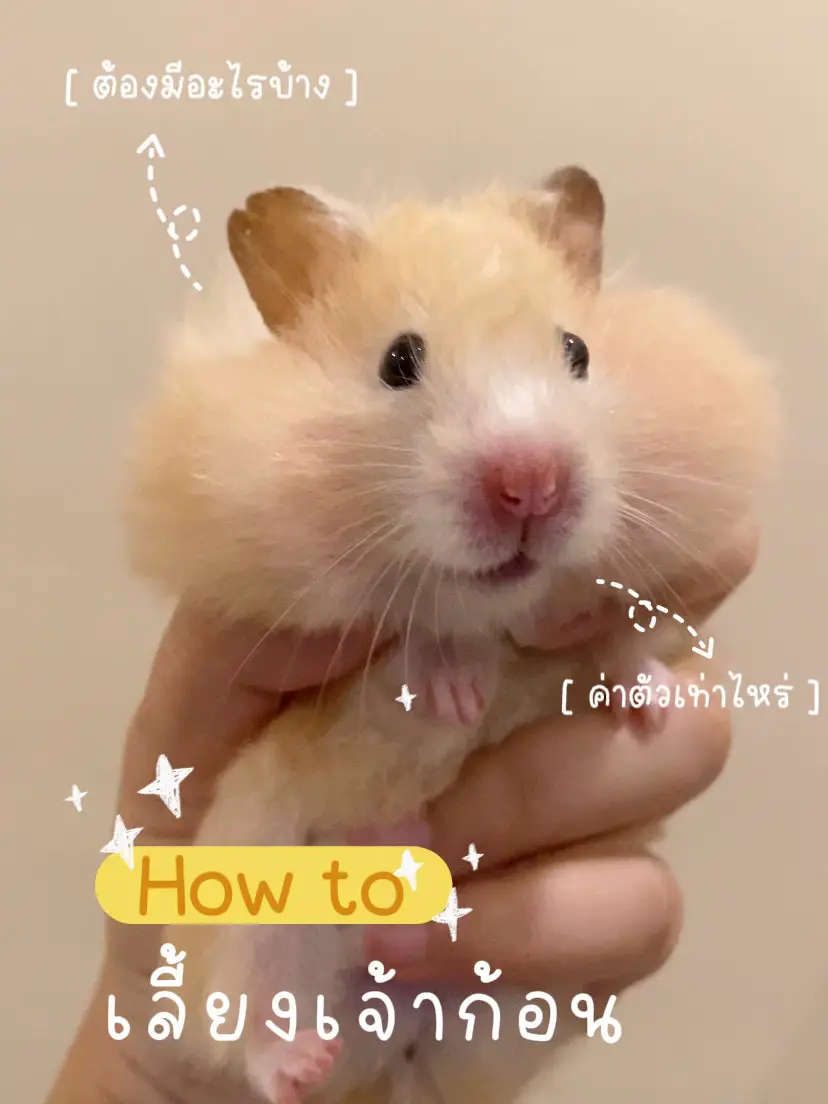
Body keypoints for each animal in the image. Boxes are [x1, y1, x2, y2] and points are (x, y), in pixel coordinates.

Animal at [125, 167, 778, 1104]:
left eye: (578, 351)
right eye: (399, 361)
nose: (532, 484)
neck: (499, 613)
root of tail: (386, 1046)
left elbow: (617, 635)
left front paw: (653, 711)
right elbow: (413, 626)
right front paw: (457, 691)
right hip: (249, 896)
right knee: (244, 1022)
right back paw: (299, 1060)